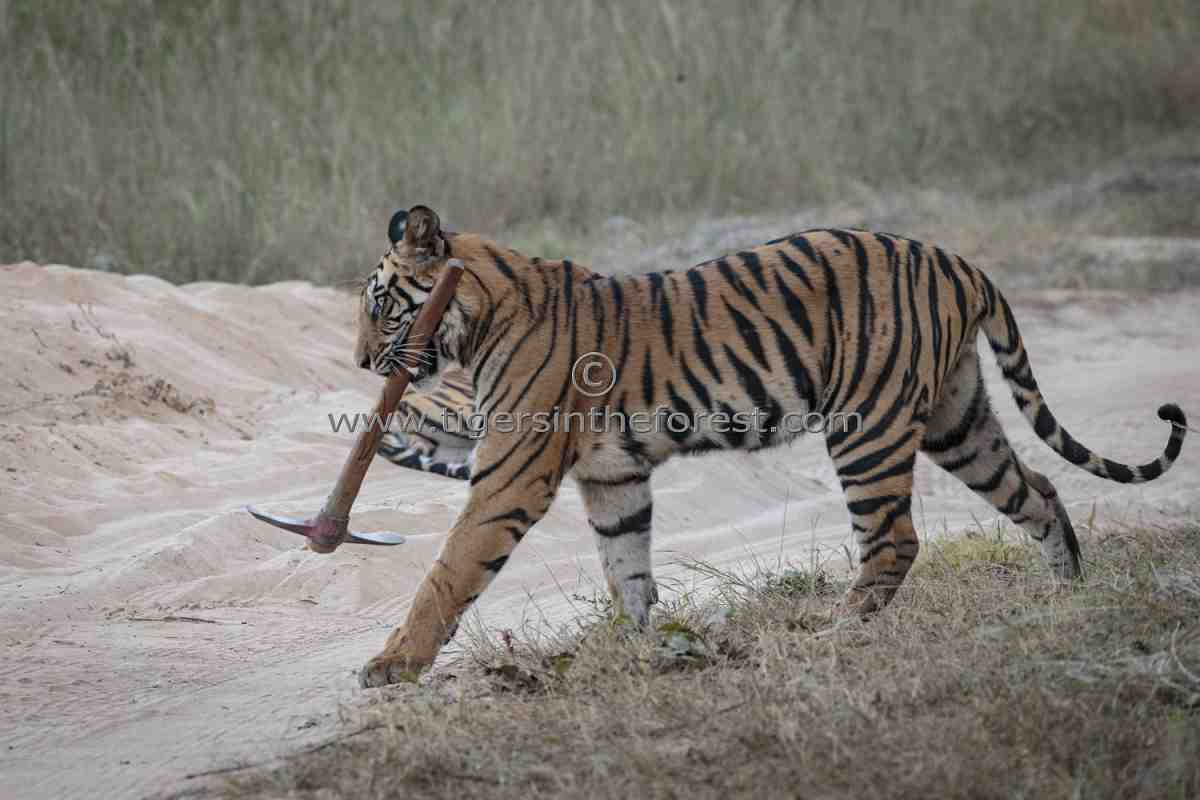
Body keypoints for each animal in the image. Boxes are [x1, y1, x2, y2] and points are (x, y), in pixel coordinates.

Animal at [347, 204, 1187, 688]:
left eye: (382, 305)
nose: (360, 362)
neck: (480, 313)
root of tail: (957, 260)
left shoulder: (510, 477)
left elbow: (449, 572)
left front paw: (394, 663)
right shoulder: (615, 481)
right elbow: (626, 567)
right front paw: (640, 650)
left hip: (868, 425)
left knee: (894, 538)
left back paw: (836, 634)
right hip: (958, 419)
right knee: (1037, 492)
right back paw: (1067, 594)